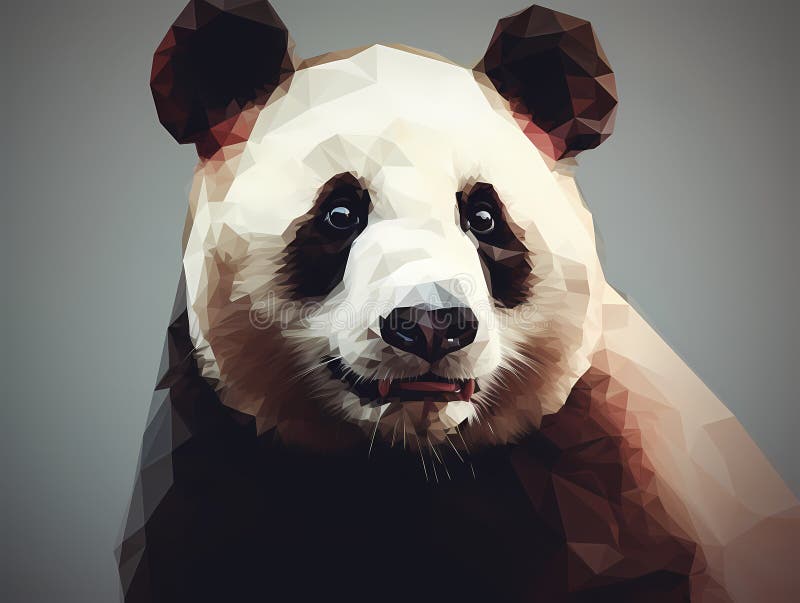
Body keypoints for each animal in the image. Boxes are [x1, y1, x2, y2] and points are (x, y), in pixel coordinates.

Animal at [118, 2, 799, 602]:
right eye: (339, 213)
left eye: (483, 217)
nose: (430, 322)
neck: (412, 467)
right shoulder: (207, 474)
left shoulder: (614, 492)